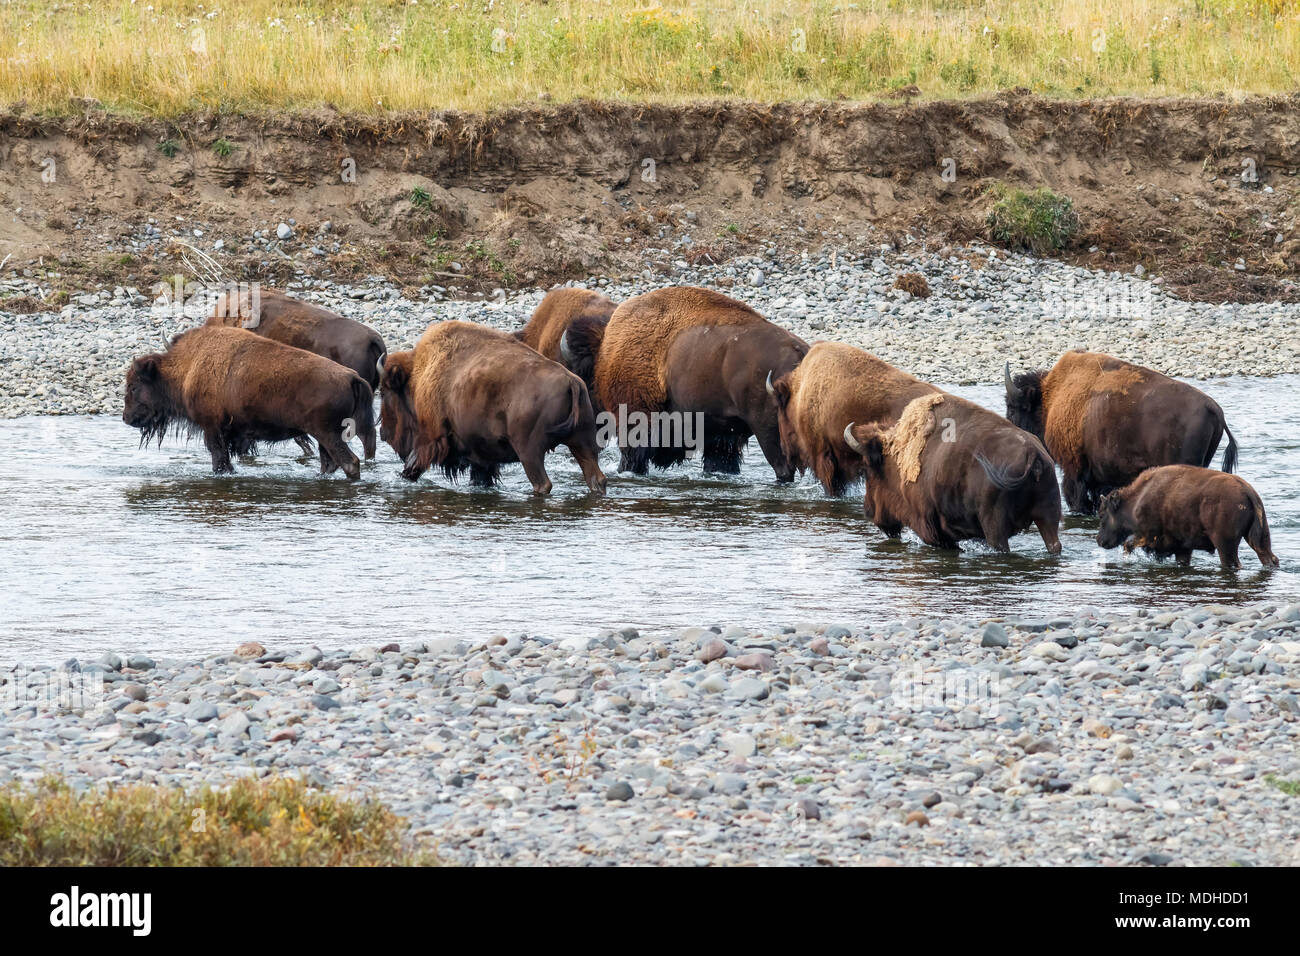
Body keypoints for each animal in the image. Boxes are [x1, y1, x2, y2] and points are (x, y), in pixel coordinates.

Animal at [123, 326, 375, 479]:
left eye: (134, 386)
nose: (126, 417)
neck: (188, 367)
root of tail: (351, 377)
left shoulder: (212, 429)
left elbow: (219, 460)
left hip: (327, 434)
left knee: (349, 462)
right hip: (325, 437)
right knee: (329, 463)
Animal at [379, 321, 606, 496]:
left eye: (385, 392)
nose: (383, 434)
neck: (420, 374)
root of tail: (571, 381)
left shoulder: (430, 440)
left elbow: (412, 466)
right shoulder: (482, 456)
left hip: (530, 451)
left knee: (543, 483)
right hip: (582, 442)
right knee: (596, 477)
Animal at [843, 392, 1063, 552]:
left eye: (868, 470)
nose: (868, 511)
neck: (899, 455)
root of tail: (1033, 453)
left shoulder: (933, 529)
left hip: (995, 526)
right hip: (1048, 516)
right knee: (1054, 544)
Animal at [1097, 465, 1278, 569]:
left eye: (1102, 515)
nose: (1099, 540)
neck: (1138, 498)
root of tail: (1248, 491)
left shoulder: (1148, 535)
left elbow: (1128, 544)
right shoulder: (1183, 548)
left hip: (1225, 545)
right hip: (1258, 538)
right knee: (1269, 558)